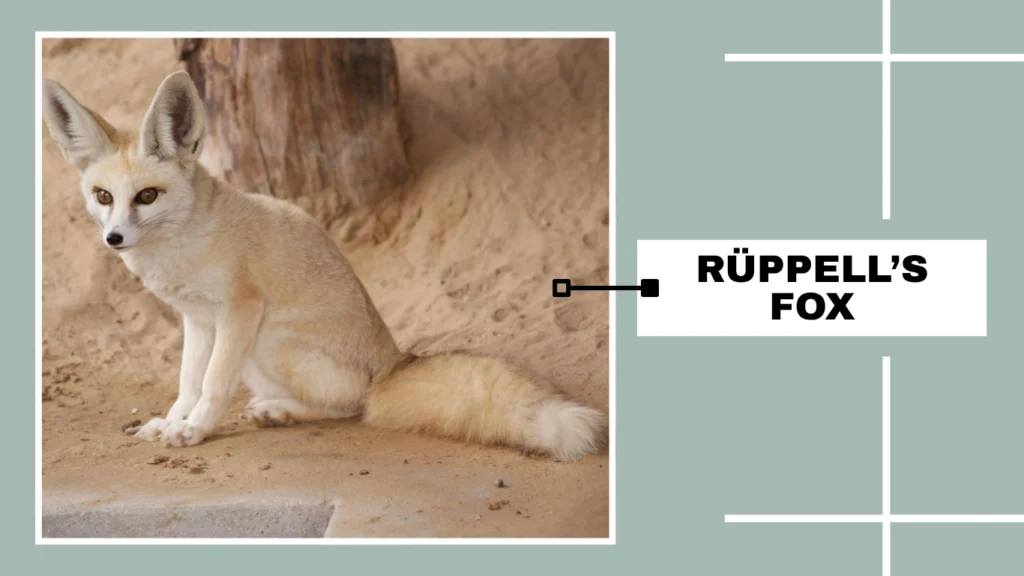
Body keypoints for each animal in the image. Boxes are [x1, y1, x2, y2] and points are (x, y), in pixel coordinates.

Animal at [41, 70, 606, 462]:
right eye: (103, 196)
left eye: (147, 196)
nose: (114, 238)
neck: (183, 242)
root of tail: (391, 363)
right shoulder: (198, 321)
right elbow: (188, 382)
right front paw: (173, 420)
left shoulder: (239, 310)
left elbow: (212, 385)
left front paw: (195, 429)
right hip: (257, 353)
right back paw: (275, 409)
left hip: (270, 342)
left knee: (353, 407)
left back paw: (283, 412)